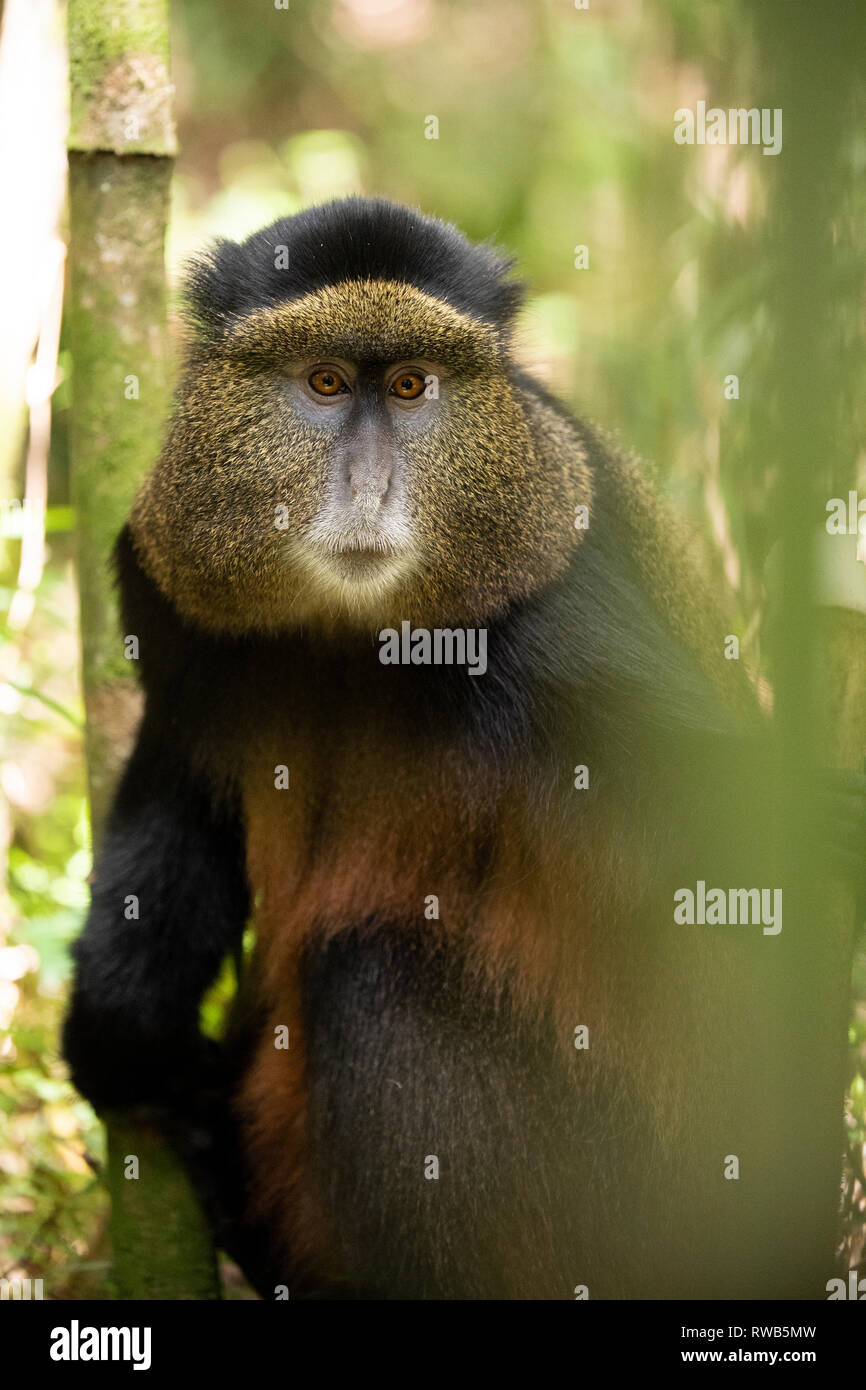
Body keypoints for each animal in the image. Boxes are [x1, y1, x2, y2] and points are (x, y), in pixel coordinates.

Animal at [63, 196, 864, 1300]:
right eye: (323, 382)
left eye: (411, 386)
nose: (367, 487)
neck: (358, 631)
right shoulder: (170, 593)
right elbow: (183, 787)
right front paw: (123, 1032)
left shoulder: (575, 628)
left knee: (373, 978)